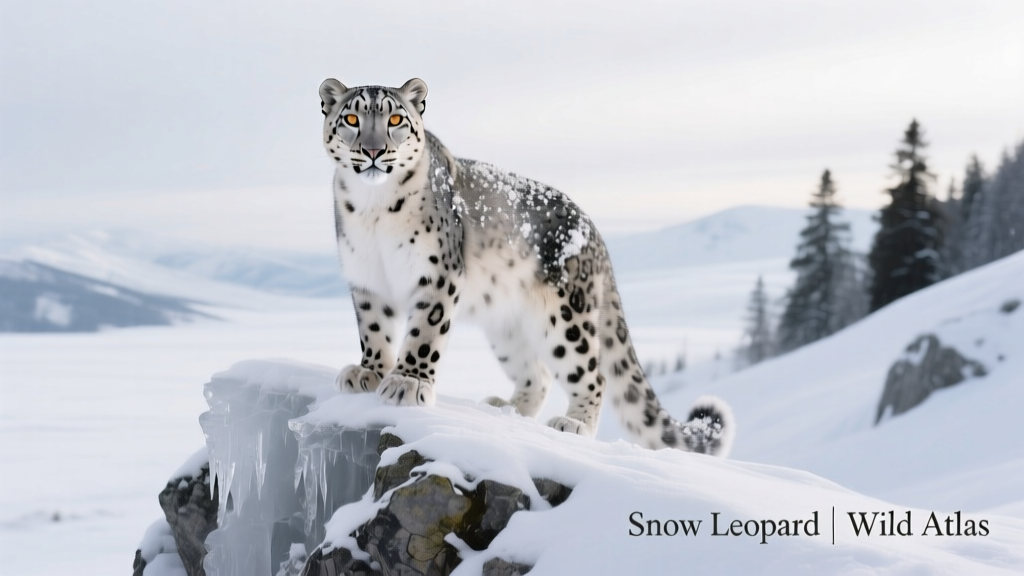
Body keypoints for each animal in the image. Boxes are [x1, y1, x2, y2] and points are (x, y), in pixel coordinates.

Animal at [319, 77, 734, 455]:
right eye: (352, 118)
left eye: (395, 120)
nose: (375, 151)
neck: (373, 209)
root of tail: (594, 229)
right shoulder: (366, 278)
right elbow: (374, 329)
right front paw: (369, 373)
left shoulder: (437, 273)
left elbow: (425, 332)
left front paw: (409, 383)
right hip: (506, 327)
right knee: (538, 373)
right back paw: (507, 408)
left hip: (567, 316)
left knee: (592, 373)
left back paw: (574, 424)